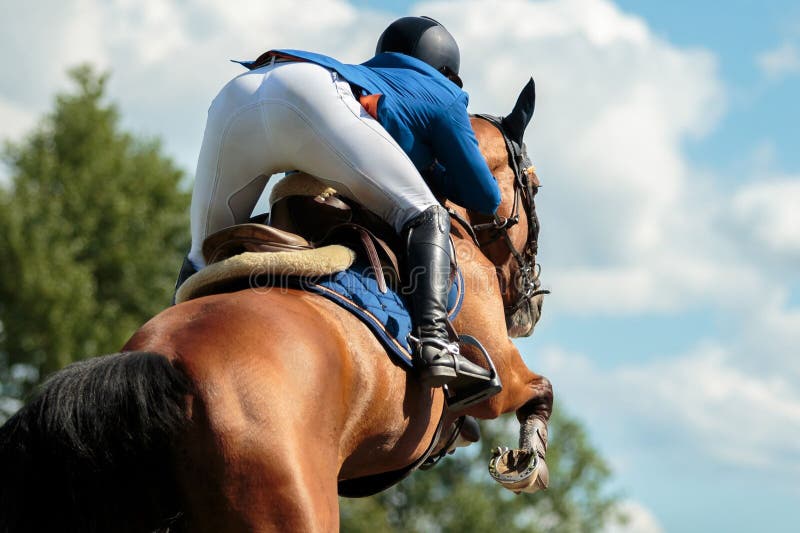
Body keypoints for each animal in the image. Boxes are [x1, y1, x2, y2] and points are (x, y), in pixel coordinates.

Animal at [0, 79, 553, 533]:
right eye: (534, 185)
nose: (531, 308)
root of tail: (166, 363)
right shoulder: (500, 372)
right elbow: (538, 389)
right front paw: (528, 460)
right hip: (287, 504)